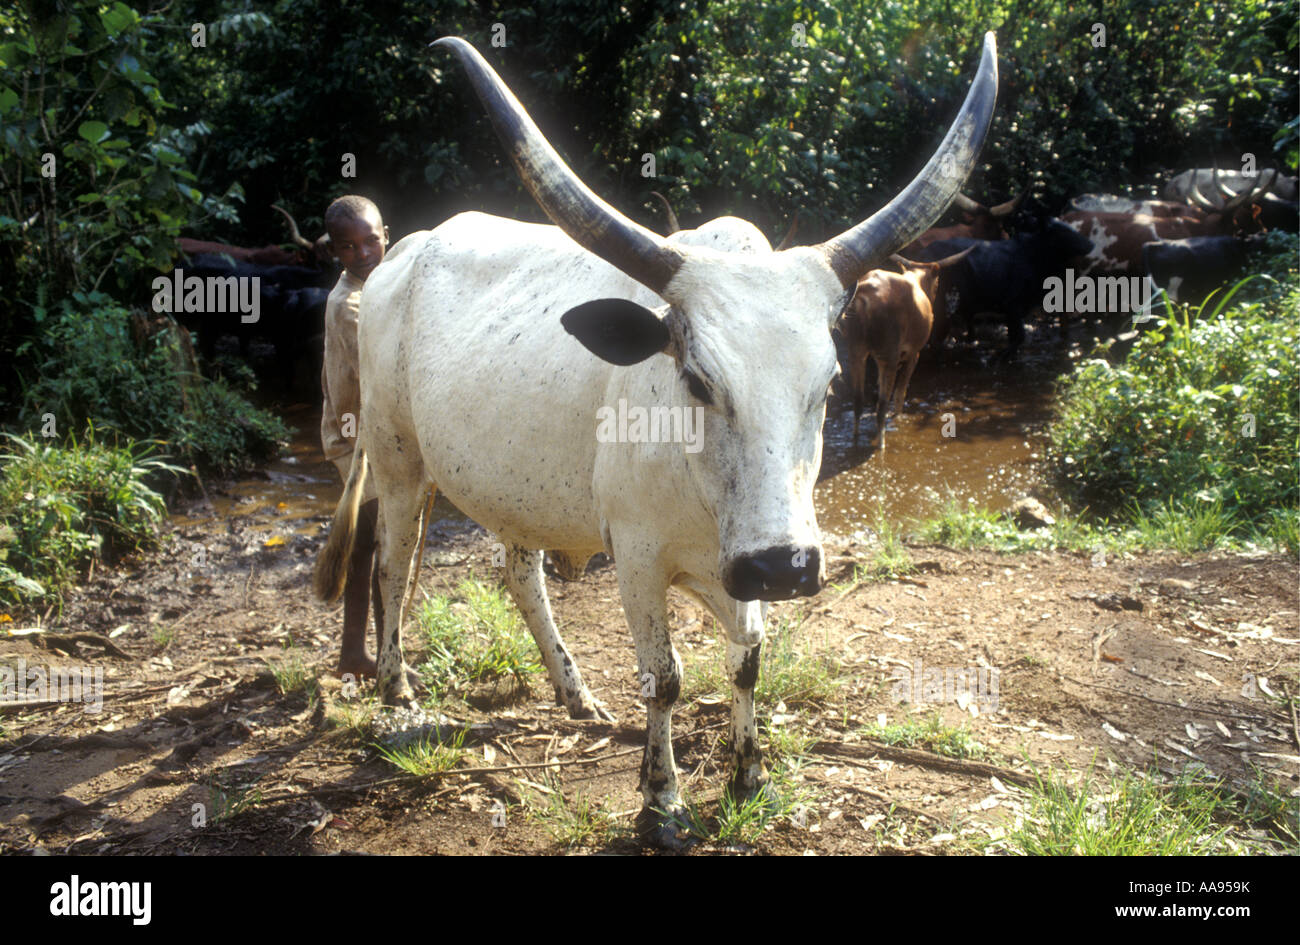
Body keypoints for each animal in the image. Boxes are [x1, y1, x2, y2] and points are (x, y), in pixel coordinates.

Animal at [840, 249, 972, 446]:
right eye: (938, 283)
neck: (917, 277)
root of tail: (864, 300)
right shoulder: (913, 353)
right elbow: (900, 393)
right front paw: (898, 417)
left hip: (856, 350)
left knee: (858, 400)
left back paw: (856, 439)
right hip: (888, 353)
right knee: (882, 405)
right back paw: (881, 443)